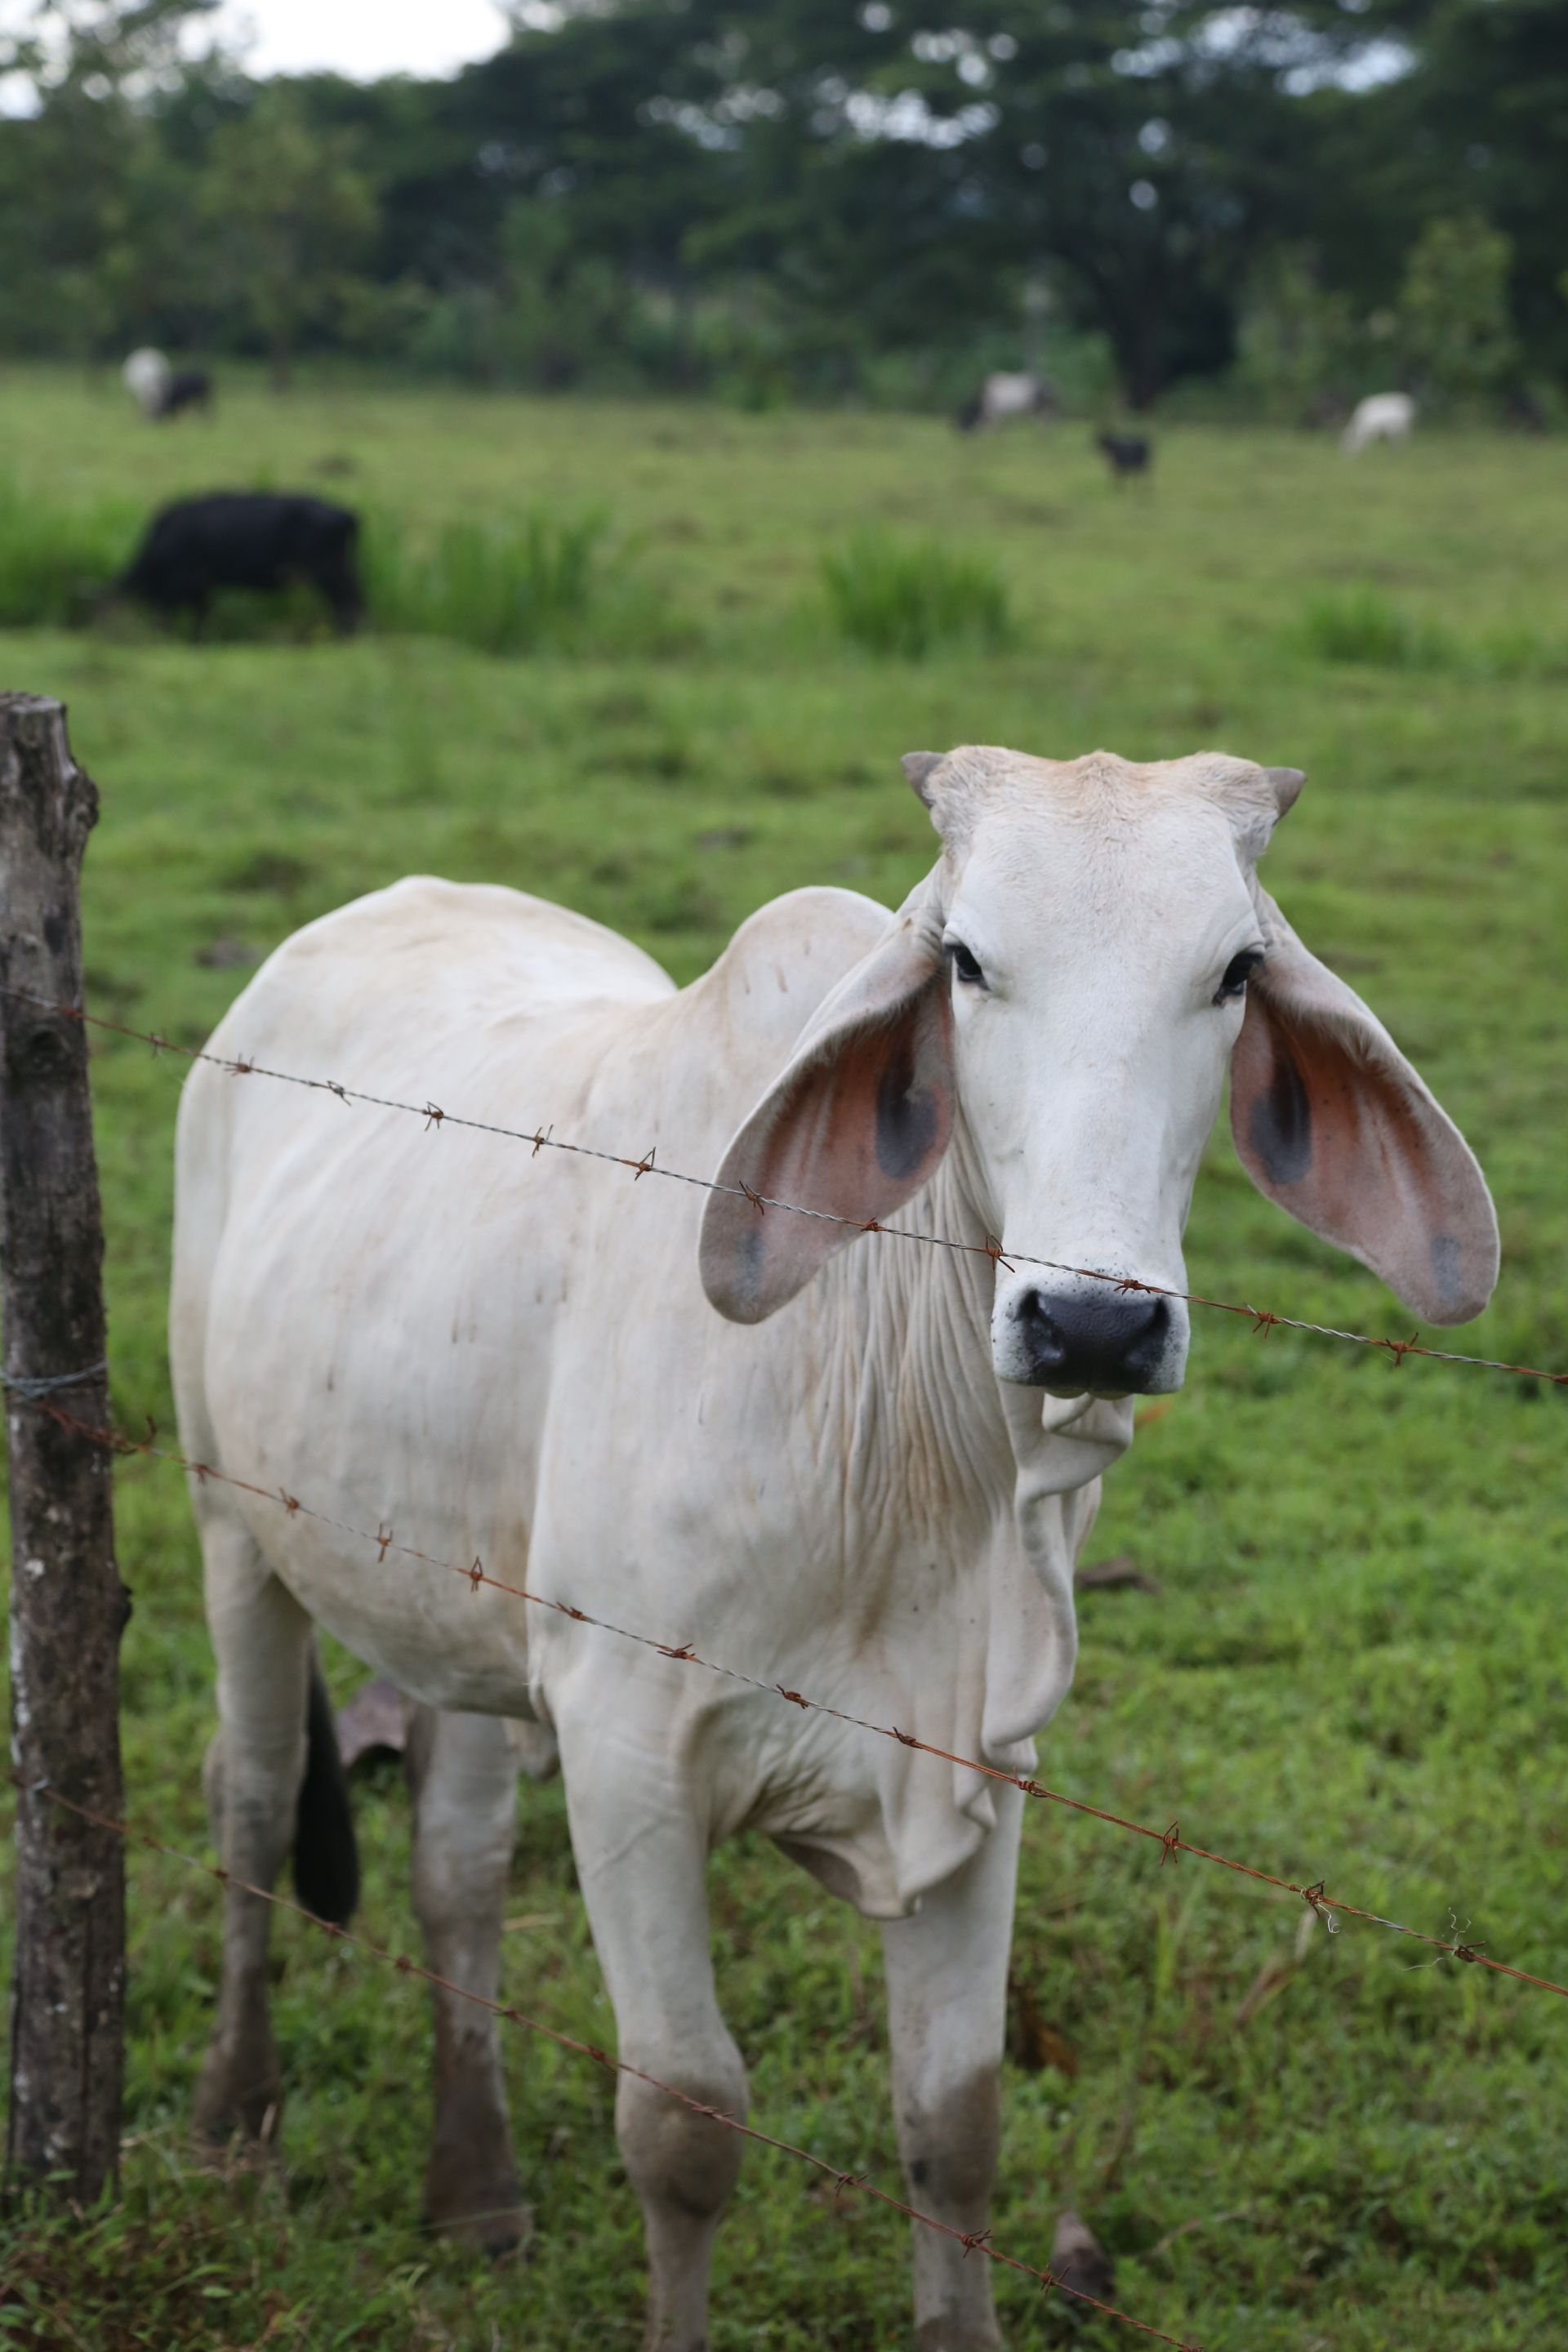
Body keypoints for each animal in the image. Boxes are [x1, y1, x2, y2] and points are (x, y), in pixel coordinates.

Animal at [117, 493, 363, 635]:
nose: (152, 625)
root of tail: (345, 513)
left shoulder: (183, 580)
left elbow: (188, 611)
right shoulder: (202, 583)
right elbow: (202, 613)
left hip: (328, 572)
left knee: (347, 602)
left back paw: (346, 634)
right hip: (342, 570)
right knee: (355, 600)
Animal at [172, 746, 1498, 2351]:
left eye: (1236, 969)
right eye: (966, 960)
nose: (1093, 1323)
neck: (888, 1421)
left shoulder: (980, 1759)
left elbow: (956, 2120)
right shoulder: (625, 1744)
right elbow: (683, 2124)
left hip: (459, 1610)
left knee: (458, 1862)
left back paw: (474, 2187)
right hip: (229, 1519)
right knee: (248, 1799)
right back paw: (234, 2119)